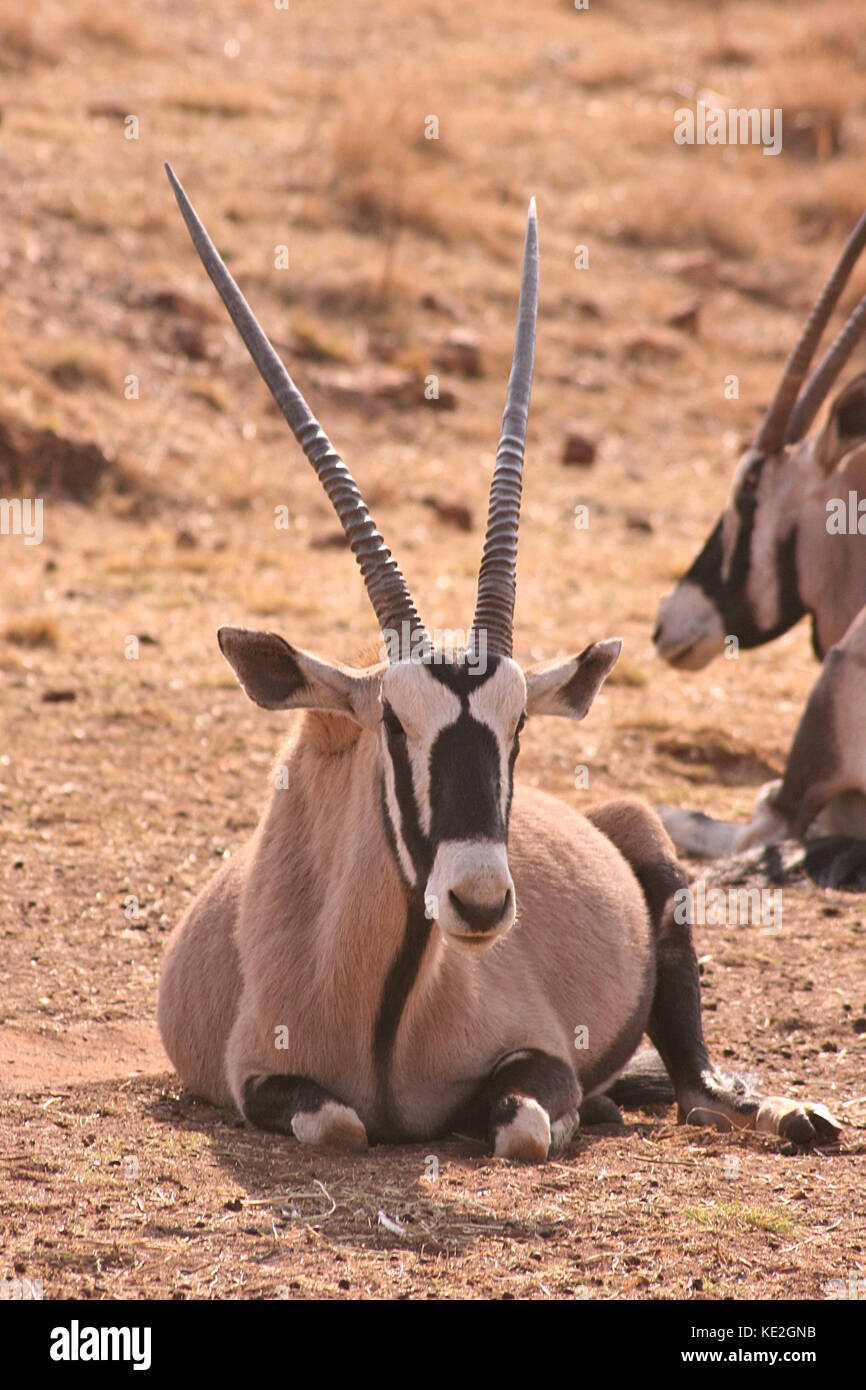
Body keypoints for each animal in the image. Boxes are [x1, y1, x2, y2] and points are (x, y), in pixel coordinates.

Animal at [157, 165, 840, 1160]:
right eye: (391, 722)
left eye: (519, 724)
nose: (479, 904)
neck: (388, 1004)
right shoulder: (258, 1081)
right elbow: (339, 1123)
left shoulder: (539, 1056)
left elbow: (522, 1125)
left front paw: (557, 1114)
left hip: (654, 865)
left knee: (700, 1089)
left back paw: (787, 1113)